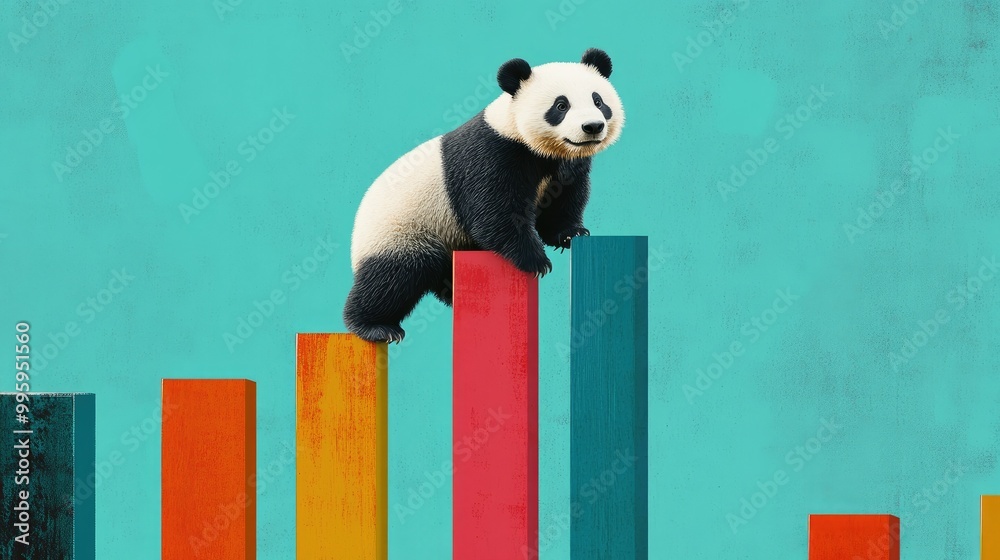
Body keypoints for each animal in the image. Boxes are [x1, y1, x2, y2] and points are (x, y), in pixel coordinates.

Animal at [345, 48, 625, 343]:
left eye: (598, 100)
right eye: (561, 106)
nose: (592, 127)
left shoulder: (564, 165)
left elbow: (563, 200)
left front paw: (571, 233)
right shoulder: (492, 155)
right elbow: (494, 213)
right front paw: (535, 260)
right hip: (402, 231)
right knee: (393, 278)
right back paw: (375, 326)